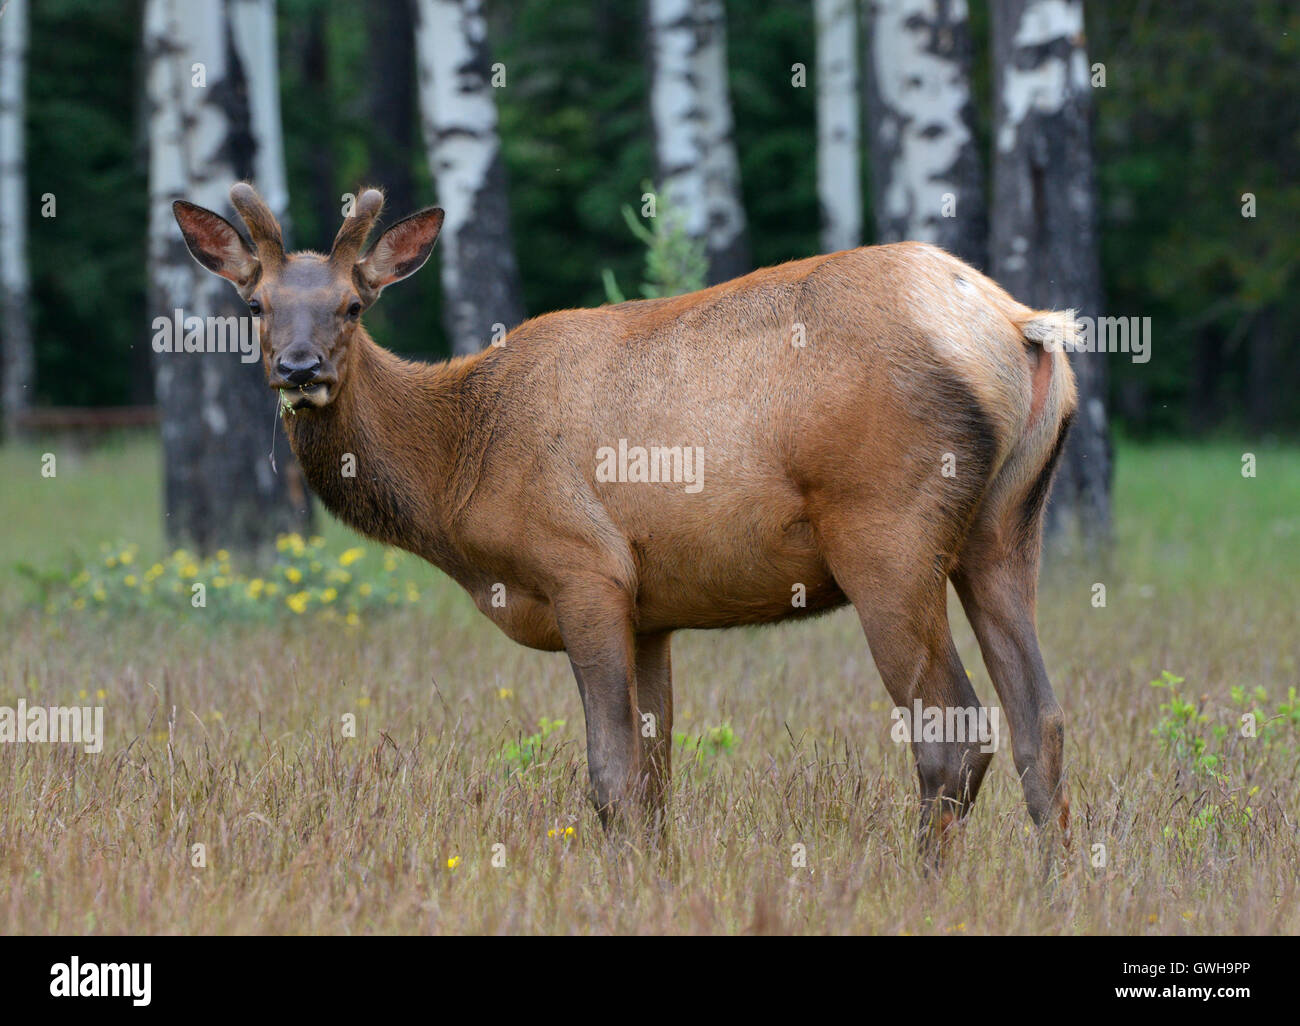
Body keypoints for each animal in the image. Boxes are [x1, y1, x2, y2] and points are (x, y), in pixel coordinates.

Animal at [173, 182, 1077, 855]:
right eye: (254, 305)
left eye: (354, 305)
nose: (300, 369)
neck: (458, 472)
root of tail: (1014, 325)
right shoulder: (654, 611)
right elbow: (656, 775)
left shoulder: (585, 565)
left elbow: (610, 777)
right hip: (1005, 532)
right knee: (1043, 722)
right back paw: (1056, 882)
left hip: (886, 530)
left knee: (956, 733)